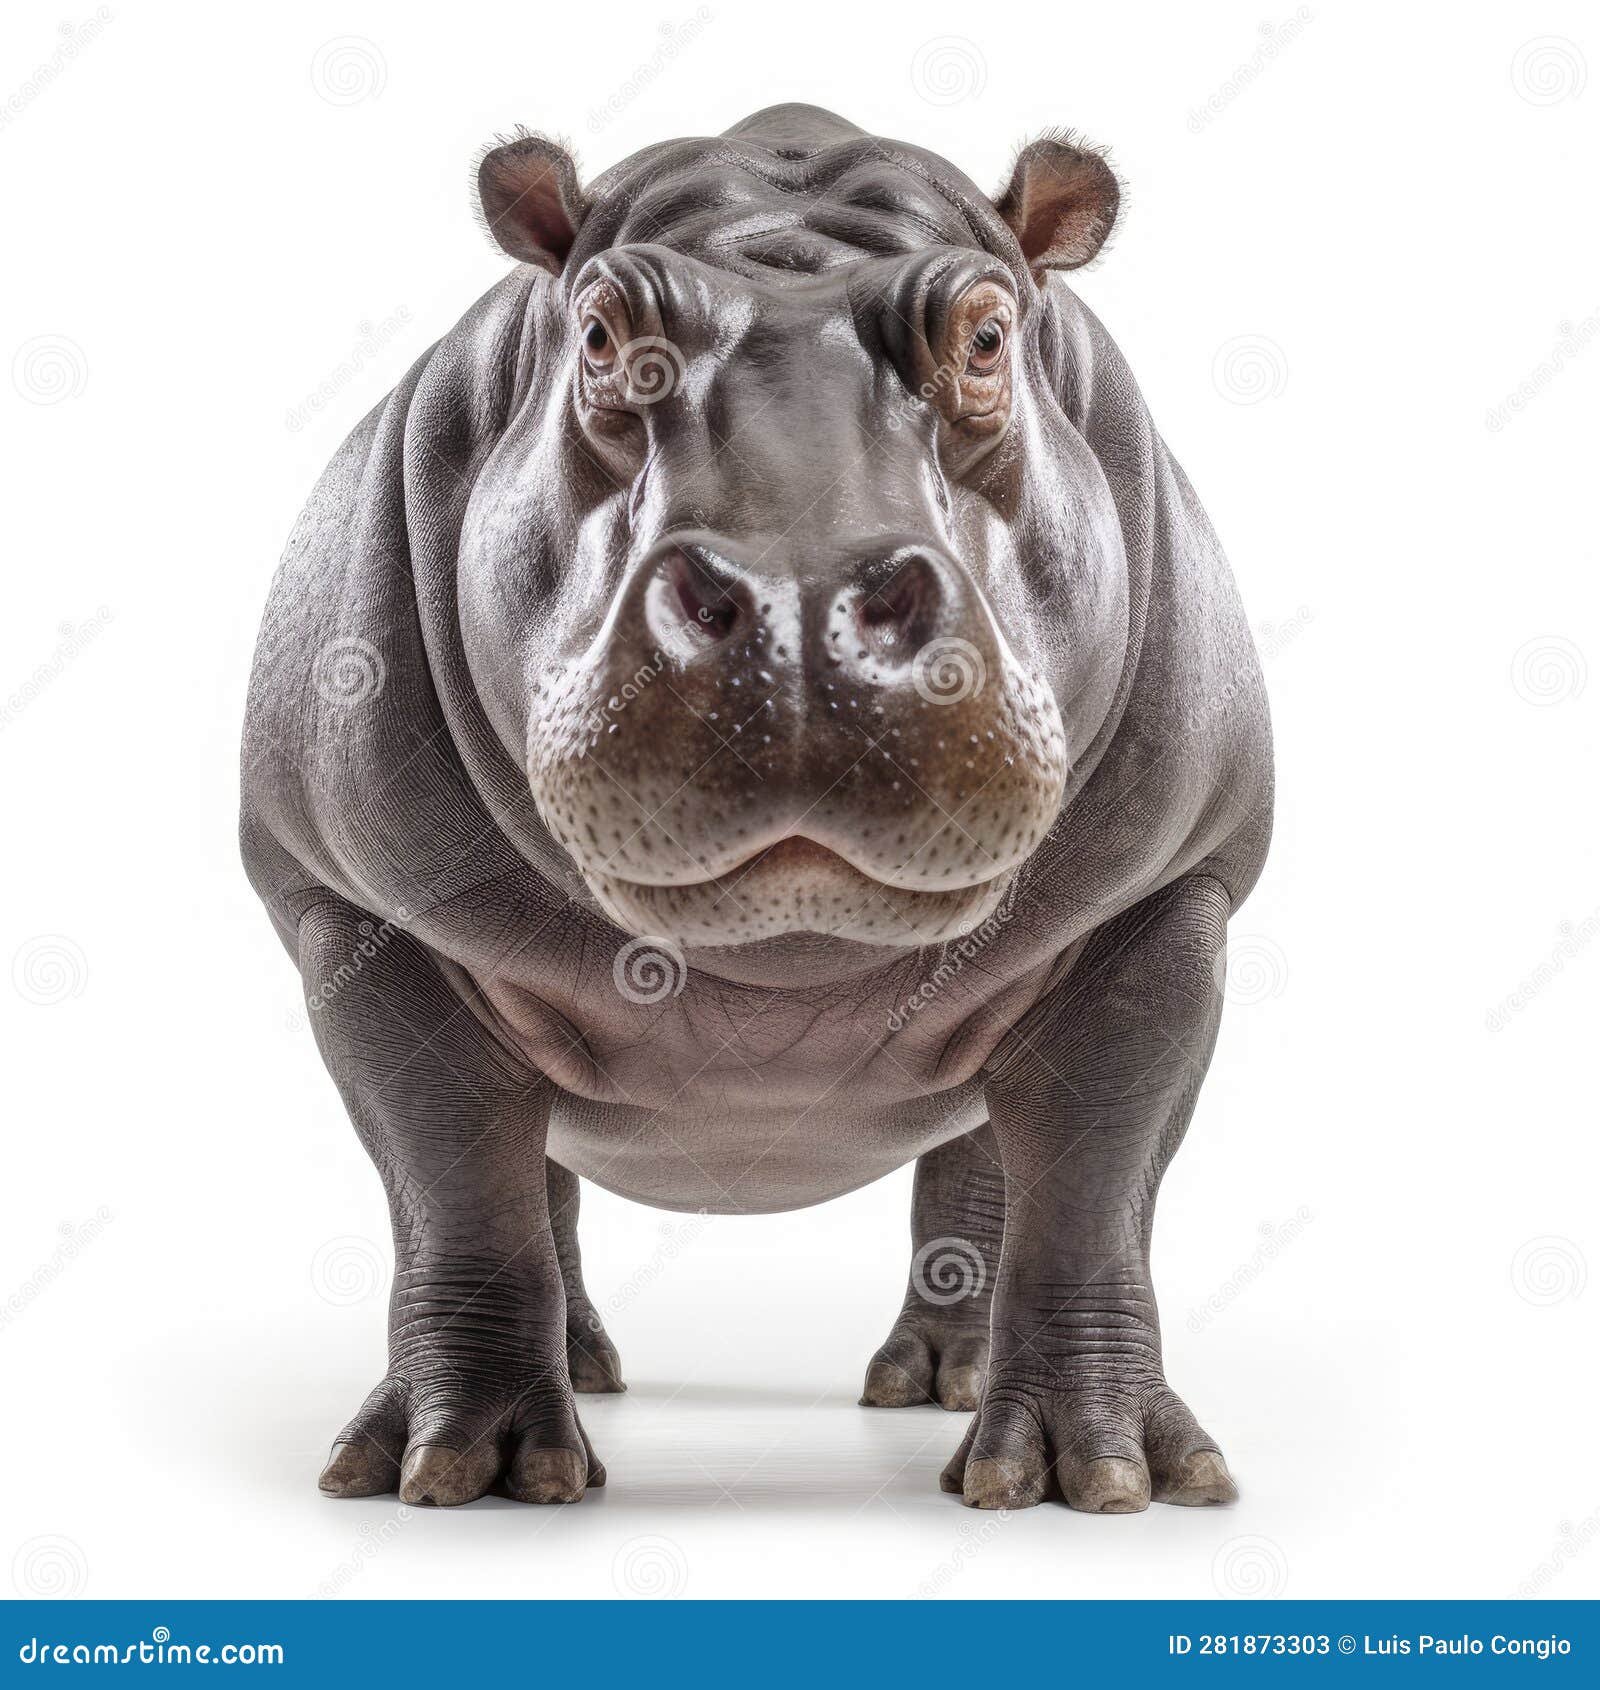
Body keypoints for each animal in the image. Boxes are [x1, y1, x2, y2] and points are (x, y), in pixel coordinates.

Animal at [240, 103, 1272, 1515]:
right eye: (601, 335)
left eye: (989, 337)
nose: (799, 606)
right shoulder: (357, 905)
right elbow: (453, 1181)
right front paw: (461, 1470)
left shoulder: (1171, 891)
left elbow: (1093, 1183)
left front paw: (1099, 1480)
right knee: (526, 1167)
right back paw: (581, 1373)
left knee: (986, 1152)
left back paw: (942, 1381)